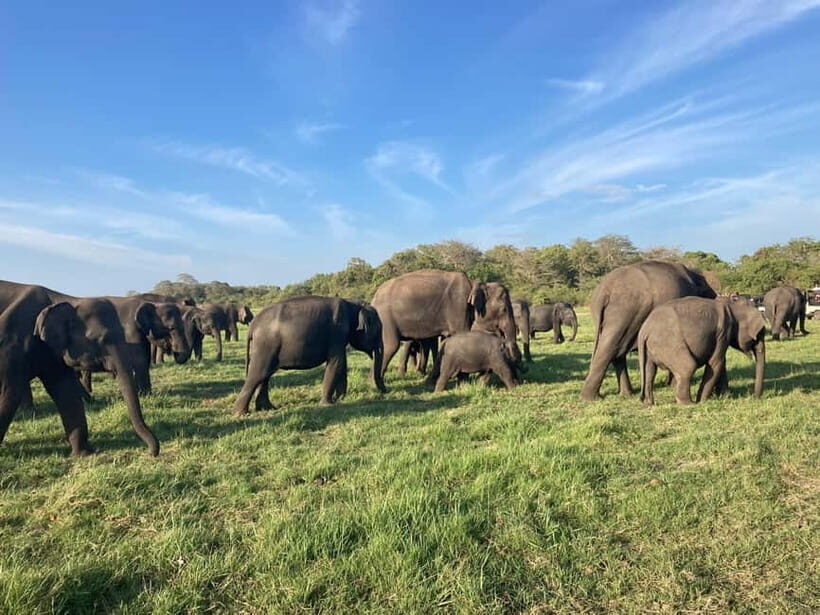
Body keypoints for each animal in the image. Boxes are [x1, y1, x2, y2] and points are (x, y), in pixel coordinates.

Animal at [0, 280, 159, 456]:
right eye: (102, 339)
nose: (152, 452)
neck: (65, 299)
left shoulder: (53, 353)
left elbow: (66, 391)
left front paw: (83, 454)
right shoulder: (11, 343)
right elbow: (9, 392)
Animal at [232, 296, 386, 415]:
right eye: (378, 330)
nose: (385, 391)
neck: (353, 304)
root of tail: (253, 325)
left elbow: (342, 364)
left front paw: (341, 399)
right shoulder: (337, 333)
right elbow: (336, 363)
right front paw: (328, 404)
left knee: (265, 375)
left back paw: (267, 408)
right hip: (266, 345)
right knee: (258, 374)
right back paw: (241, 413)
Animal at [372, 270, 518, 378]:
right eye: (504, 309)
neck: (474, 284)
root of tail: (374, 298)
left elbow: (446, 342)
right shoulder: (458, 307)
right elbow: (460, 335)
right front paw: (463, 381)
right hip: (385, 318)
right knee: (391, 346)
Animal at [580, 260, 717, 401]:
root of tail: (604, 290)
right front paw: (672, 385)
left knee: (617, 349)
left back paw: (625, 394)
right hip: (626, 312)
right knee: (611, 348)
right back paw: (592, 398)